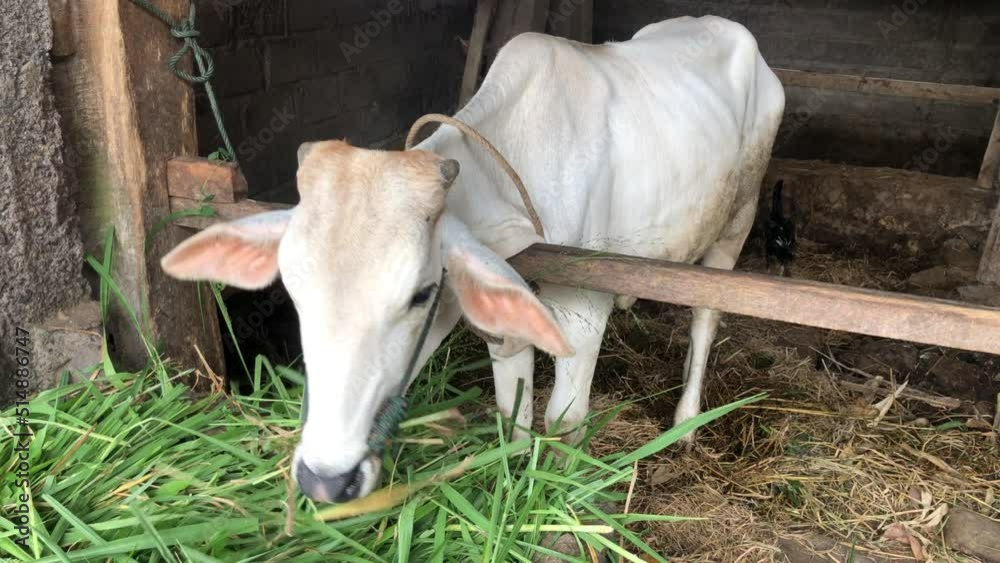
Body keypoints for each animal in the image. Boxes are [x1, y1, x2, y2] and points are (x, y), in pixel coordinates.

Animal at [161, 16, 785, 503]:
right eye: (292, 290)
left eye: (419, 293)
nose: (325, 479)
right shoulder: (503, 318)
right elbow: (514, 415)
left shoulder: (583, 307)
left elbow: (564, 422)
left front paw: (559, 497)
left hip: (737, 222)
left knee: (706, 318)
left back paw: (686, 423)